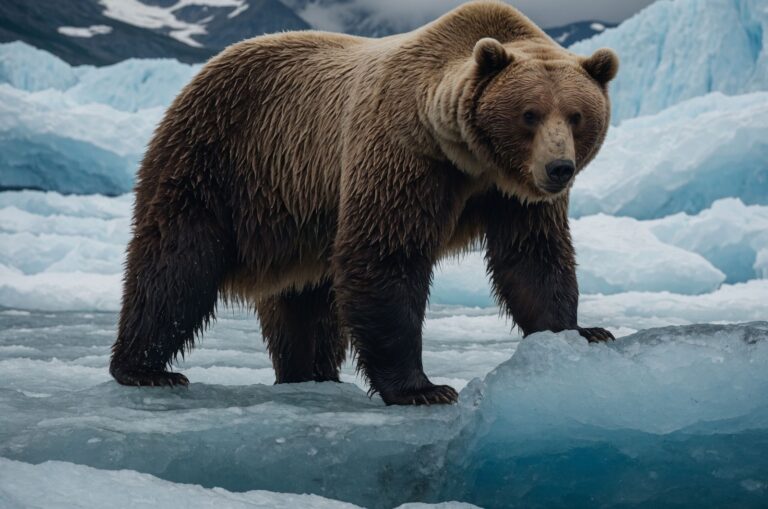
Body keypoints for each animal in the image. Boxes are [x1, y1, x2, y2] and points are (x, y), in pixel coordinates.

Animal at [110, 0, 618, 405]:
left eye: (577, 116)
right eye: (529, 114)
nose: (559, 168)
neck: (469, 156)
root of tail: (207, 68)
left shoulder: (513, 196)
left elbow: (533, 258)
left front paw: (584, 332)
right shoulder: (402, 154)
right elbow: (385, 256)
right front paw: (423, 388)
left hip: (296, 210)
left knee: (306, 303)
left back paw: (310, 374)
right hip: (217, 162)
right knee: (177, 266)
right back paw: (145, 368)